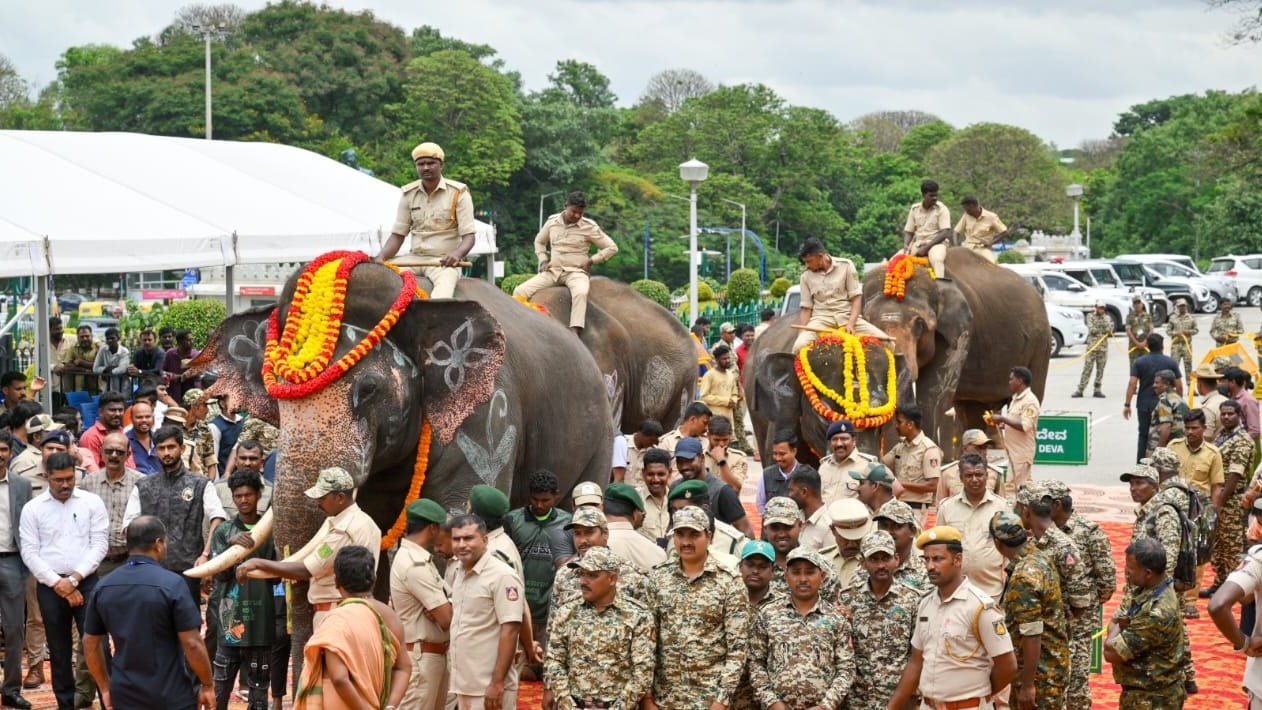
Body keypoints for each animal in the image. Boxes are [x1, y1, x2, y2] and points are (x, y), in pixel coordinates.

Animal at [189, 261, 613, 680]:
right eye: (275, 396)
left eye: (369, 389)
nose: (244, 568)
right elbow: (372, 539)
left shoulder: (484, 416)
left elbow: (455, 523)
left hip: (599, 438)